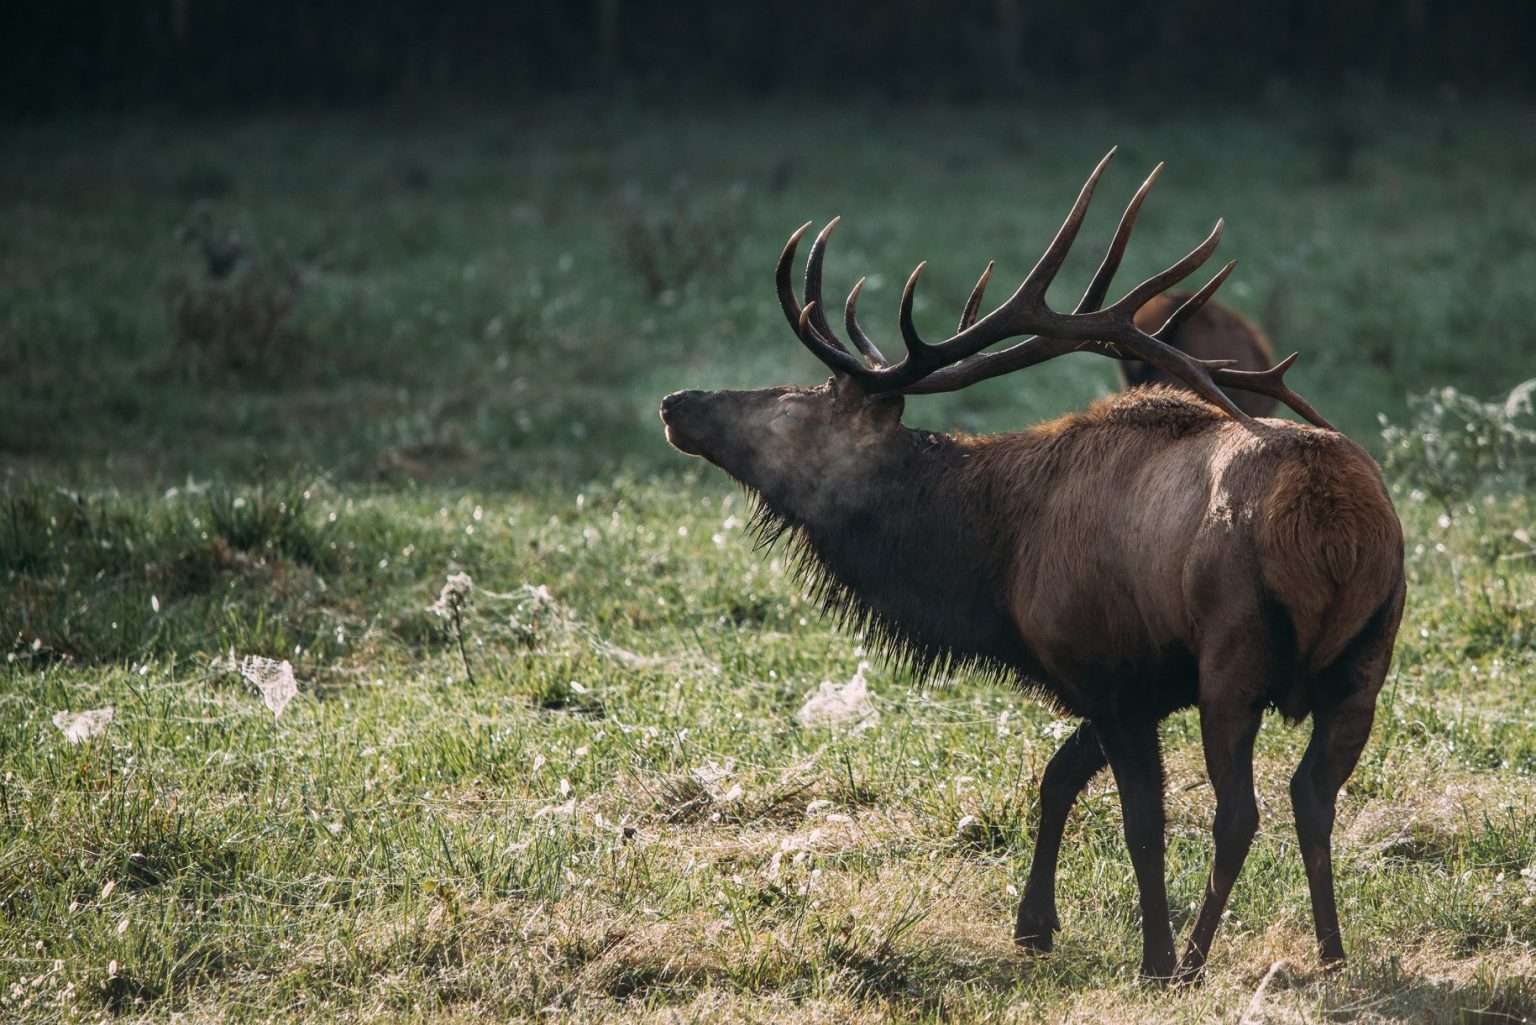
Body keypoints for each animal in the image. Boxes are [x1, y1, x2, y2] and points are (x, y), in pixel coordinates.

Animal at [658, 150, 1405, 983]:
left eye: (795, 407)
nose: (677, 401)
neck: (997, 563)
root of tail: (1336, 530)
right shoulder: (1142, 681)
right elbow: (1056, 779)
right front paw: (1033, 924)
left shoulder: (1108, 666)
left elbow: (1140, 822)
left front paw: (1150, 955)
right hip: (1368, 655)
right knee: (1313, 797)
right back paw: (1332, 952)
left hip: (1234, 659)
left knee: (1240, 812)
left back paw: (1192, 961)